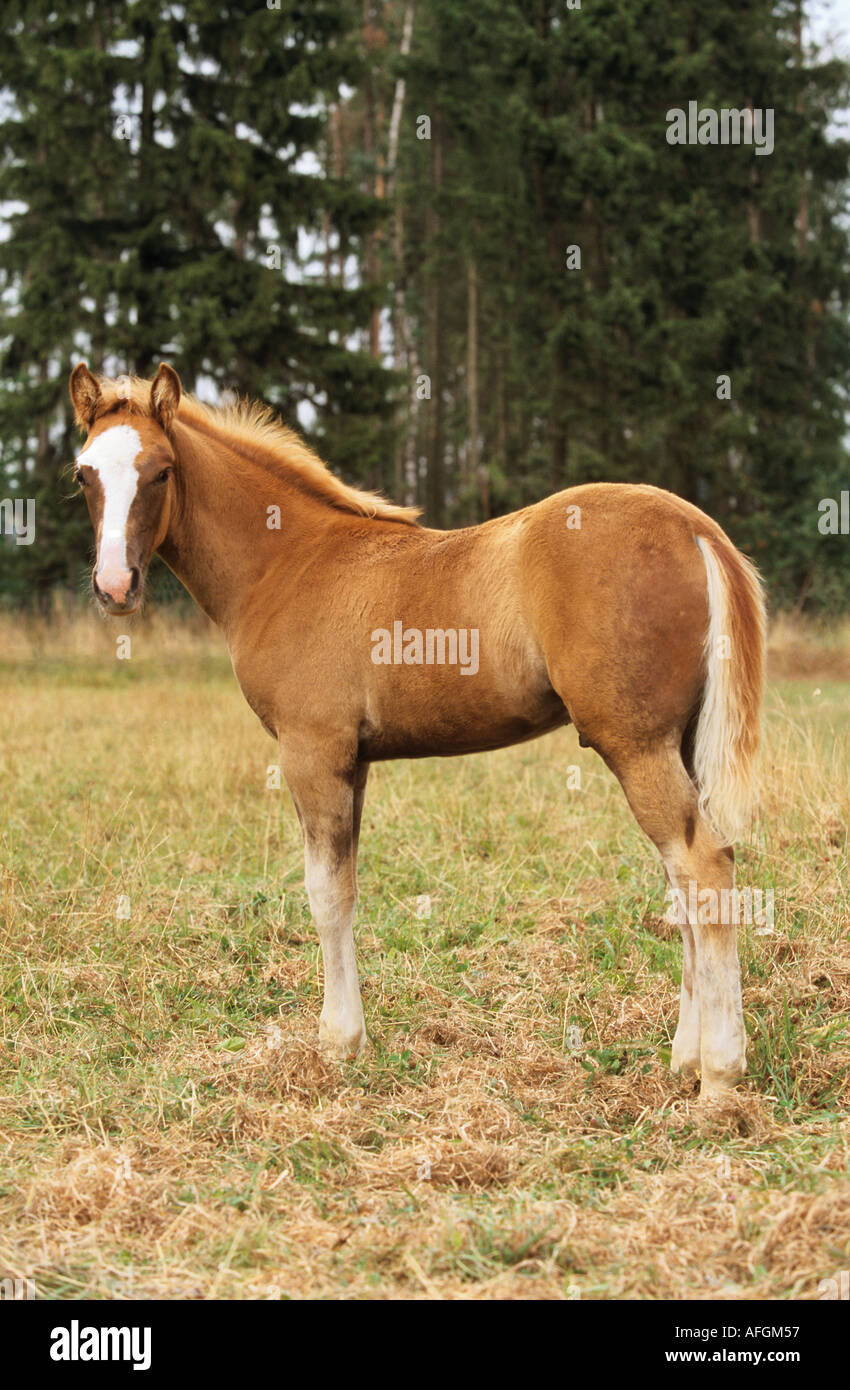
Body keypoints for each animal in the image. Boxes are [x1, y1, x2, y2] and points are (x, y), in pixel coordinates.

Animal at [69, 362, 766, 1096]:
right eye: (83, 475)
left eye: (162, 470)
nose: (115, 587)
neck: (287, 561)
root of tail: (693, 525)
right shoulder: (354, 760)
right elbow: (347, 886)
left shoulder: (312, 751)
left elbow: (325, 893)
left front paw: (338, 1043)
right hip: (676, 743)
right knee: (686, 878)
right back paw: (683, 1059)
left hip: (636, 744)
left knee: (702, 866)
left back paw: (719, 1076)